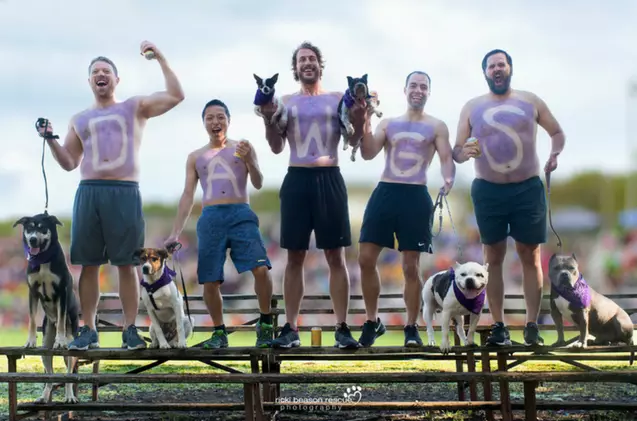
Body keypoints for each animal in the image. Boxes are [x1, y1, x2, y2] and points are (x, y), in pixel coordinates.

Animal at [14, 213, 79, 404]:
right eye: (29, 229)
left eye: (43, 228)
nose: (33, 240)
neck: (43, 260)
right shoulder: (32, 292)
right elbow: (31, 319)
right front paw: (30, 341)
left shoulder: (62, 292)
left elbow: (62, 317)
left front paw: (60, 340)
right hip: (45, 347)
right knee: (49, 376)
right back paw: (43, 396)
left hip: (71, 346)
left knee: (69, 376)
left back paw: (69, 396)